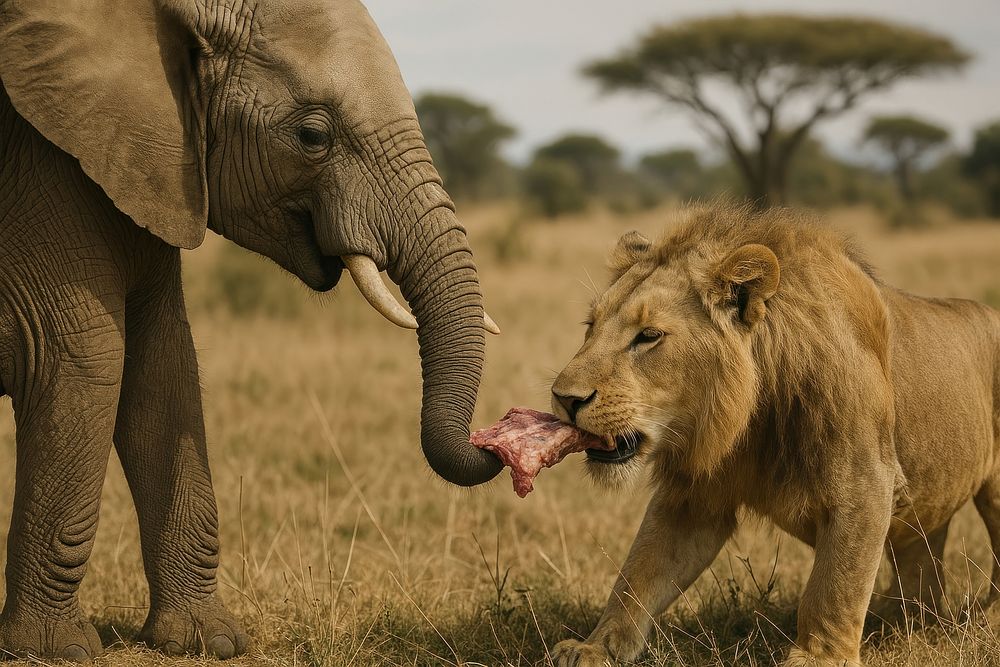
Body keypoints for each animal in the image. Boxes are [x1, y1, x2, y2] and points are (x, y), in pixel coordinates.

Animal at [0, 0, 503, 660]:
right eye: (312, 136)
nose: (493, 443)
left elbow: (164, 364)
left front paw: (208, 643)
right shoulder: (37, 170)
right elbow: (85, 359)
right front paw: (55, 651)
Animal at [549, 204, 1000, 667]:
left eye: (649, 336)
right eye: (590, 325)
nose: (564, 399)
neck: (750, 419)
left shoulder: (867, 483)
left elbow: (836, 583)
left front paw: (820, 658)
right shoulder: (693, 497)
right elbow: (640, 573)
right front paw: (594, 648)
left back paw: (982, 621)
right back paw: (901, 624)